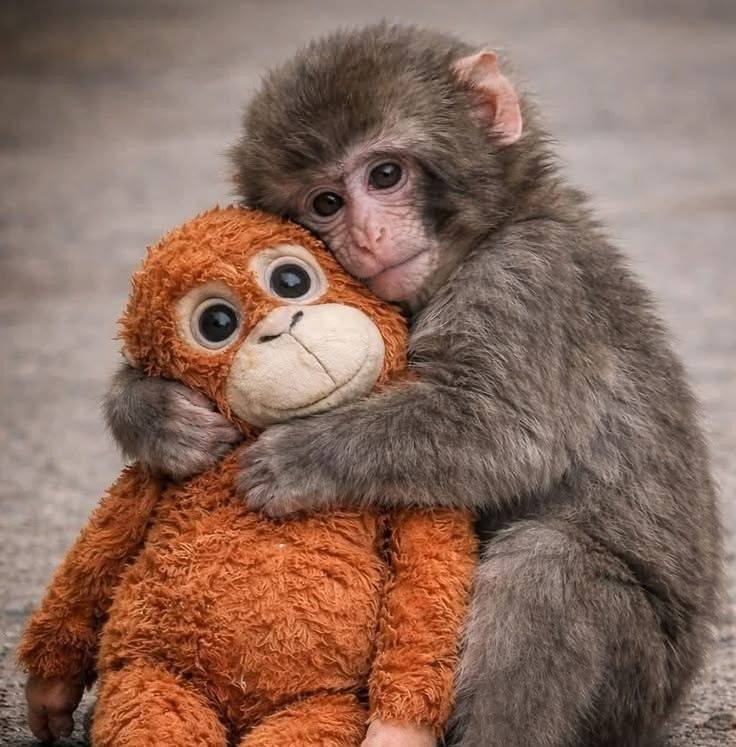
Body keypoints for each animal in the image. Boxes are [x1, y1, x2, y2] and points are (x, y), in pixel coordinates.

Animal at [104, 24, 721, 747]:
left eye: (385, 174)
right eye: (326, 203)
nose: (369, 235)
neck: (487, 235)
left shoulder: (529, 277)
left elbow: (507, 433)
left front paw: (297, 457)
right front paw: (151, 410)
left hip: (636, 688)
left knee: (548, 565)